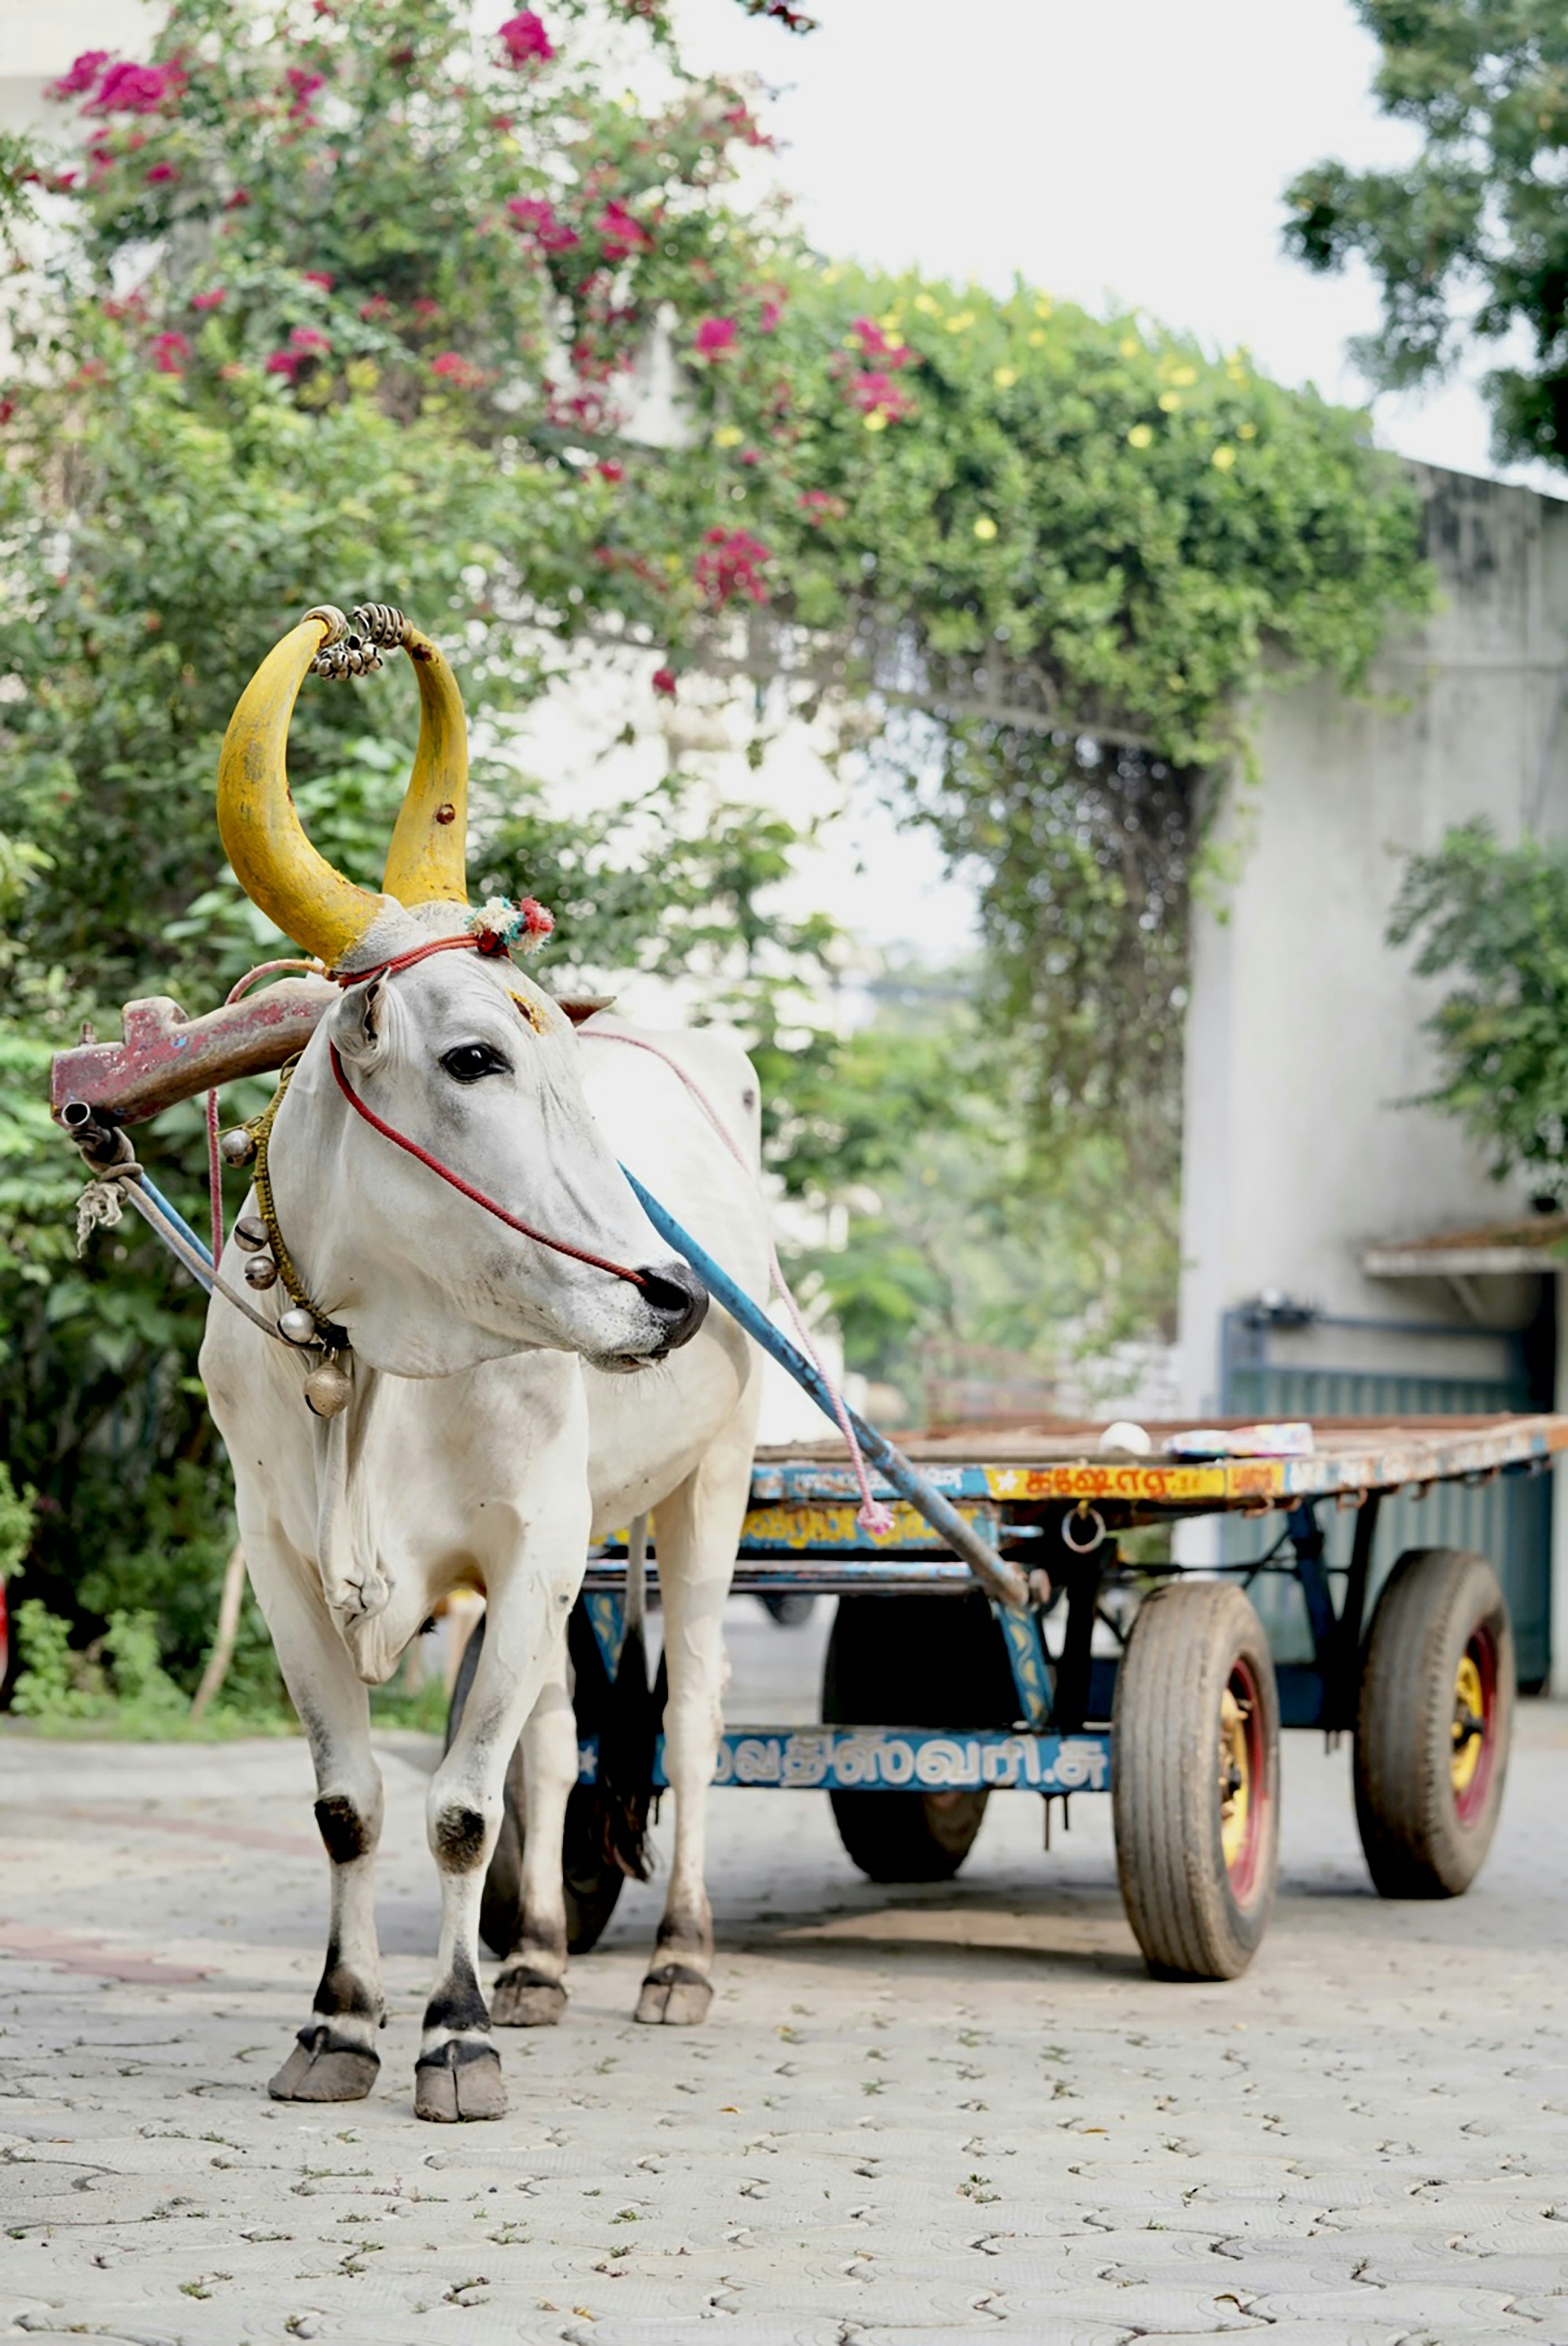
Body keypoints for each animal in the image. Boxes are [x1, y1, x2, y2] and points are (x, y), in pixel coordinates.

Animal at [198, 606, 769, 2121]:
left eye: (561, 1063)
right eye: (471, 1057)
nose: (672, 1295)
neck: (372, 1350)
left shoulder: (529, 1541)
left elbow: (458, 1805)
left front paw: (450, 2032)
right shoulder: (281, 1555)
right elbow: (356, 1800)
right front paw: (342, 2020)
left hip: (713, 1479)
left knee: (695, 1715)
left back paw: (676, 1959)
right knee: (561, 1737)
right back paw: (542, 1961)